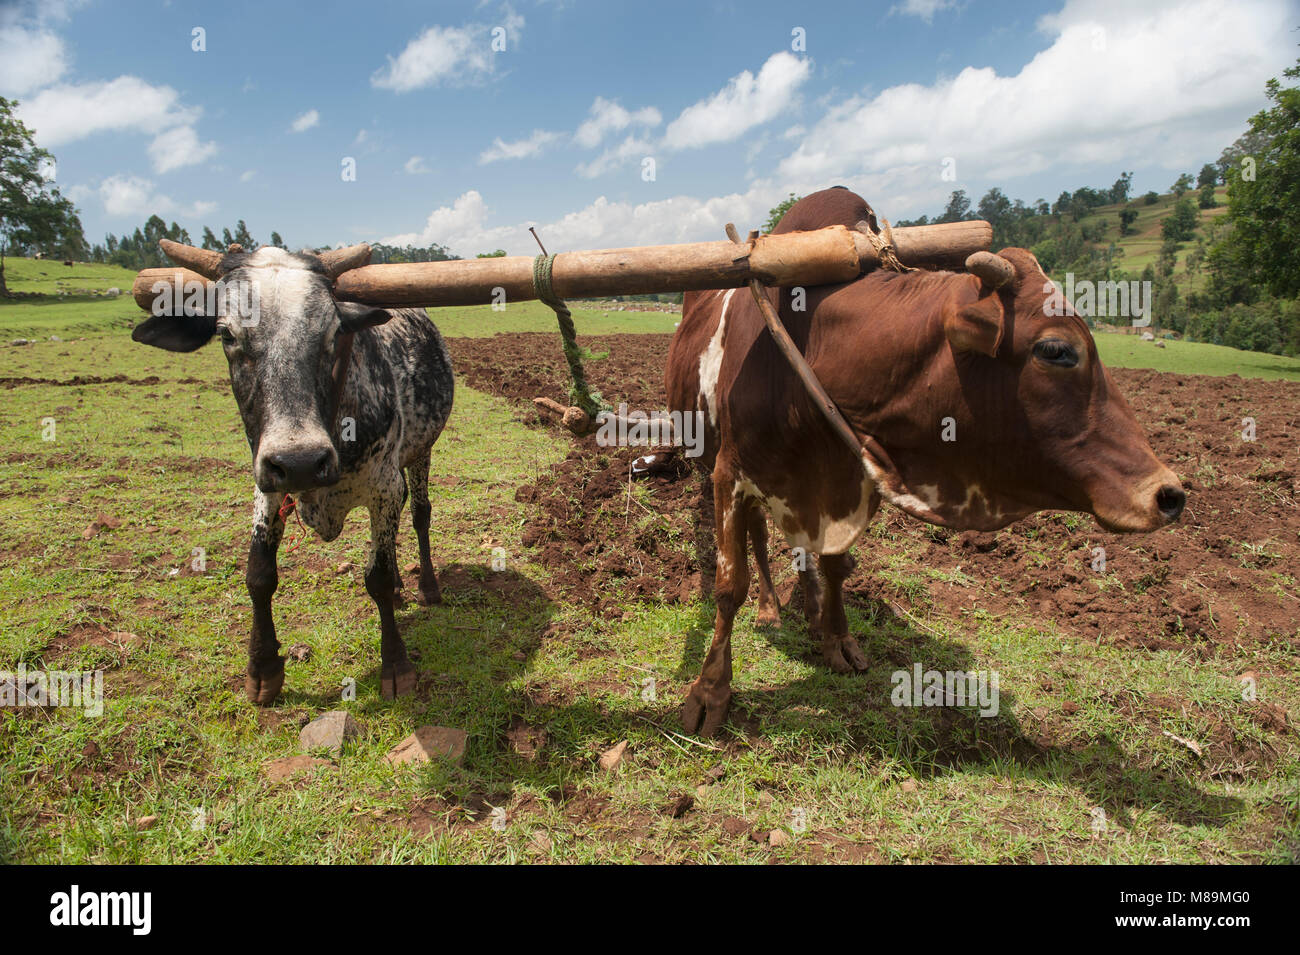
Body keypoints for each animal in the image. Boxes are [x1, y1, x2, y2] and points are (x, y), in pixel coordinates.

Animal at [131, 241, 454, 704]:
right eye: (226, 335)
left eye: (334, 333)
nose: (302, 461)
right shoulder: (267, 483)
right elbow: (259, 574)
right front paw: (263, 667)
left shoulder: (385, 487)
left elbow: (373, 575)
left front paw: (396, 664)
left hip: (419, 453)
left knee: (419, 514)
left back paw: (426, 585)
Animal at [665, 187, 1185, 736]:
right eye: (1055, 350)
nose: (1168, 494)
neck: (810, 342)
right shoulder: (730, 474)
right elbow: (729, 587)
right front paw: (710, 691)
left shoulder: (849, 482)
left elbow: (834, 565)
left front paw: (837, 638)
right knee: (759, 539)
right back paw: (770, 608)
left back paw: (808, 608)